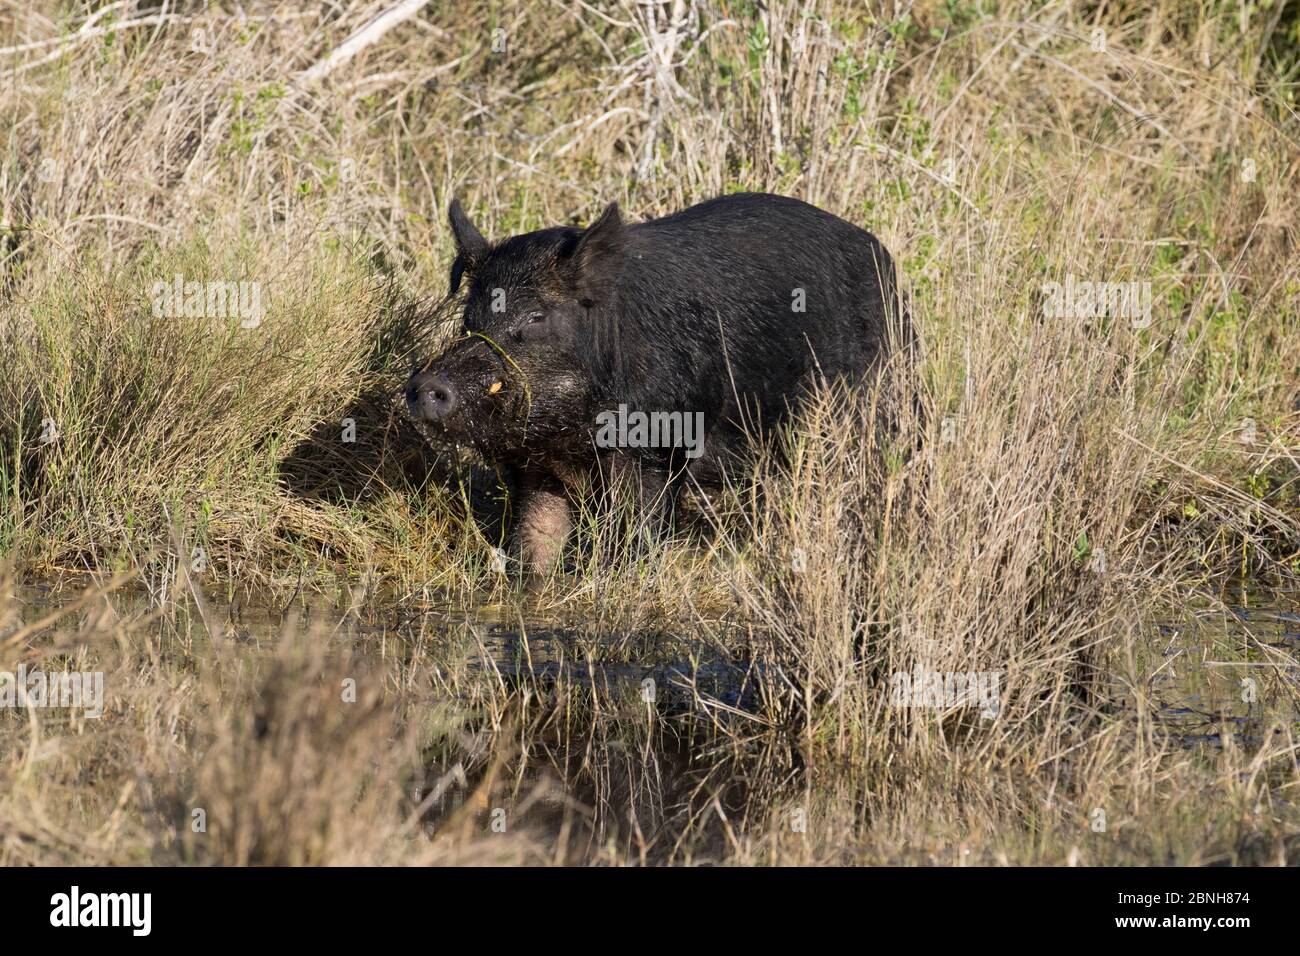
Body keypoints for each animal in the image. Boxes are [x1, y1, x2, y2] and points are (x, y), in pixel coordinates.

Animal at [406, 192, 907, 572]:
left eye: (535, 318)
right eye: (469, 321)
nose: (425, 386)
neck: (573, 434)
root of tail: (883, 257)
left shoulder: (656, 445)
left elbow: (635, 534)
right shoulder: (535, 467)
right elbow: (535, 541)